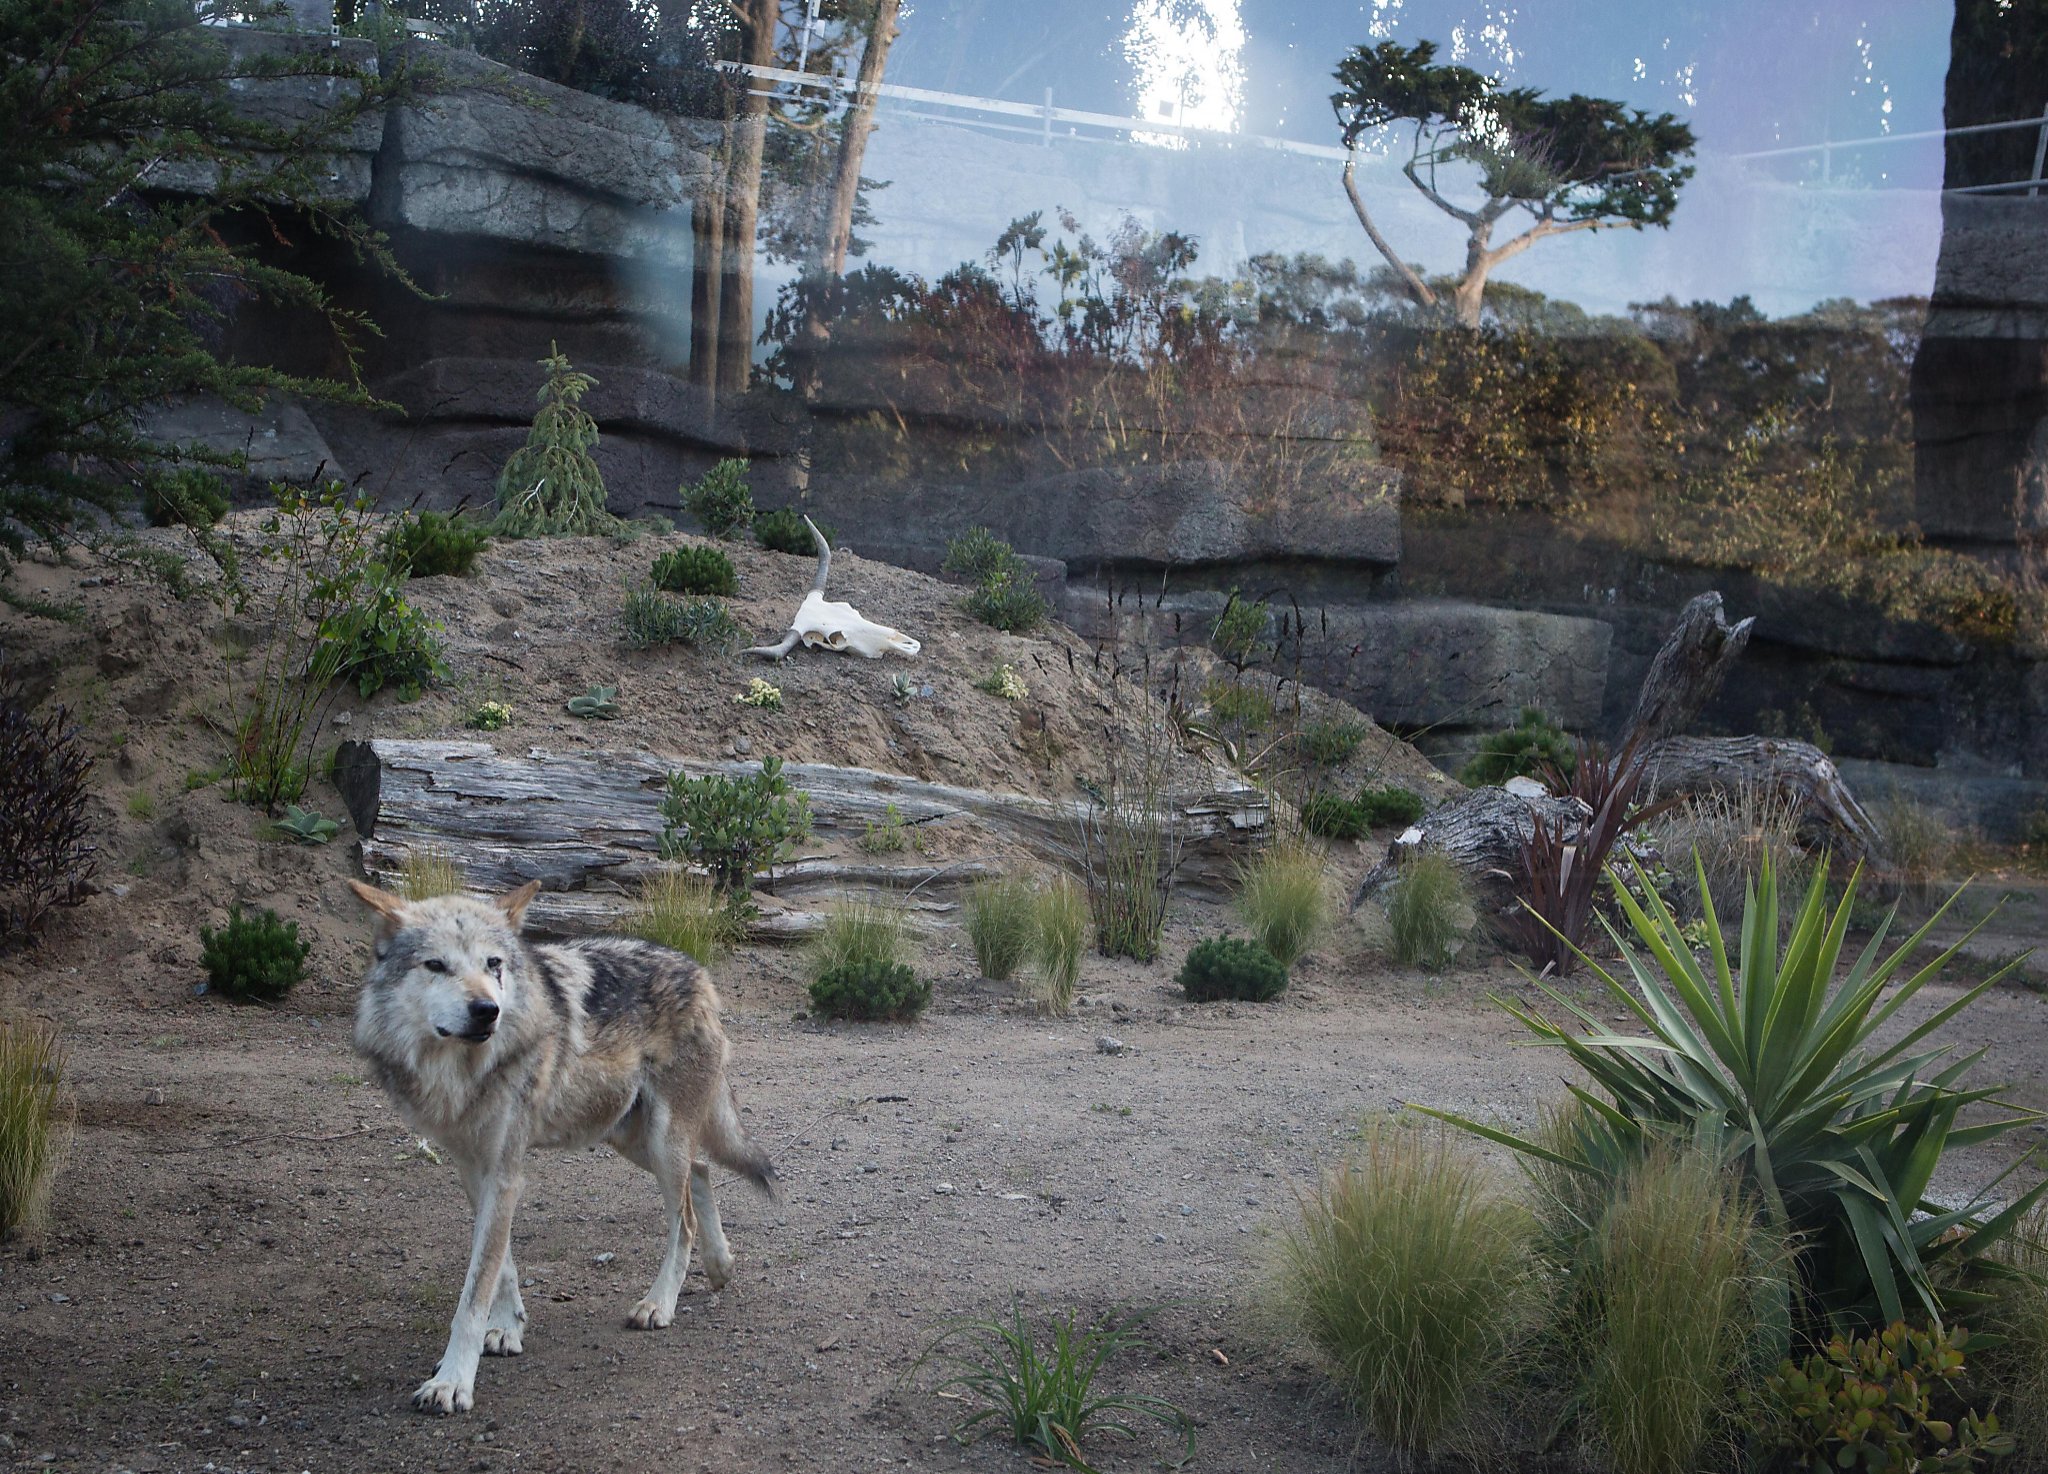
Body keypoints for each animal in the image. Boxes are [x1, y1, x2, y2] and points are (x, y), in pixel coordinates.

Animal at [346, 878, 777, 1415]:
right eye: (436, 965)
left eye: (494, 964)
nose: (487, 1010)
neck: (463, 1074)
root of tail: (696, 970)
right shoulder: (475, 1168)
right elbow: (502, 1267)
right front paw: (507, 1329)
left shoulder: (505, 1171)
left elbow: (474, 1291)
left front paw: (452, 1382)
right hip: (631, 1140)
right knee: (701, 1173)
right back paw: (719, 1267)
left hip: (660, 1141)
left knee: (685, 1221)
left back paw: (659, 1304)